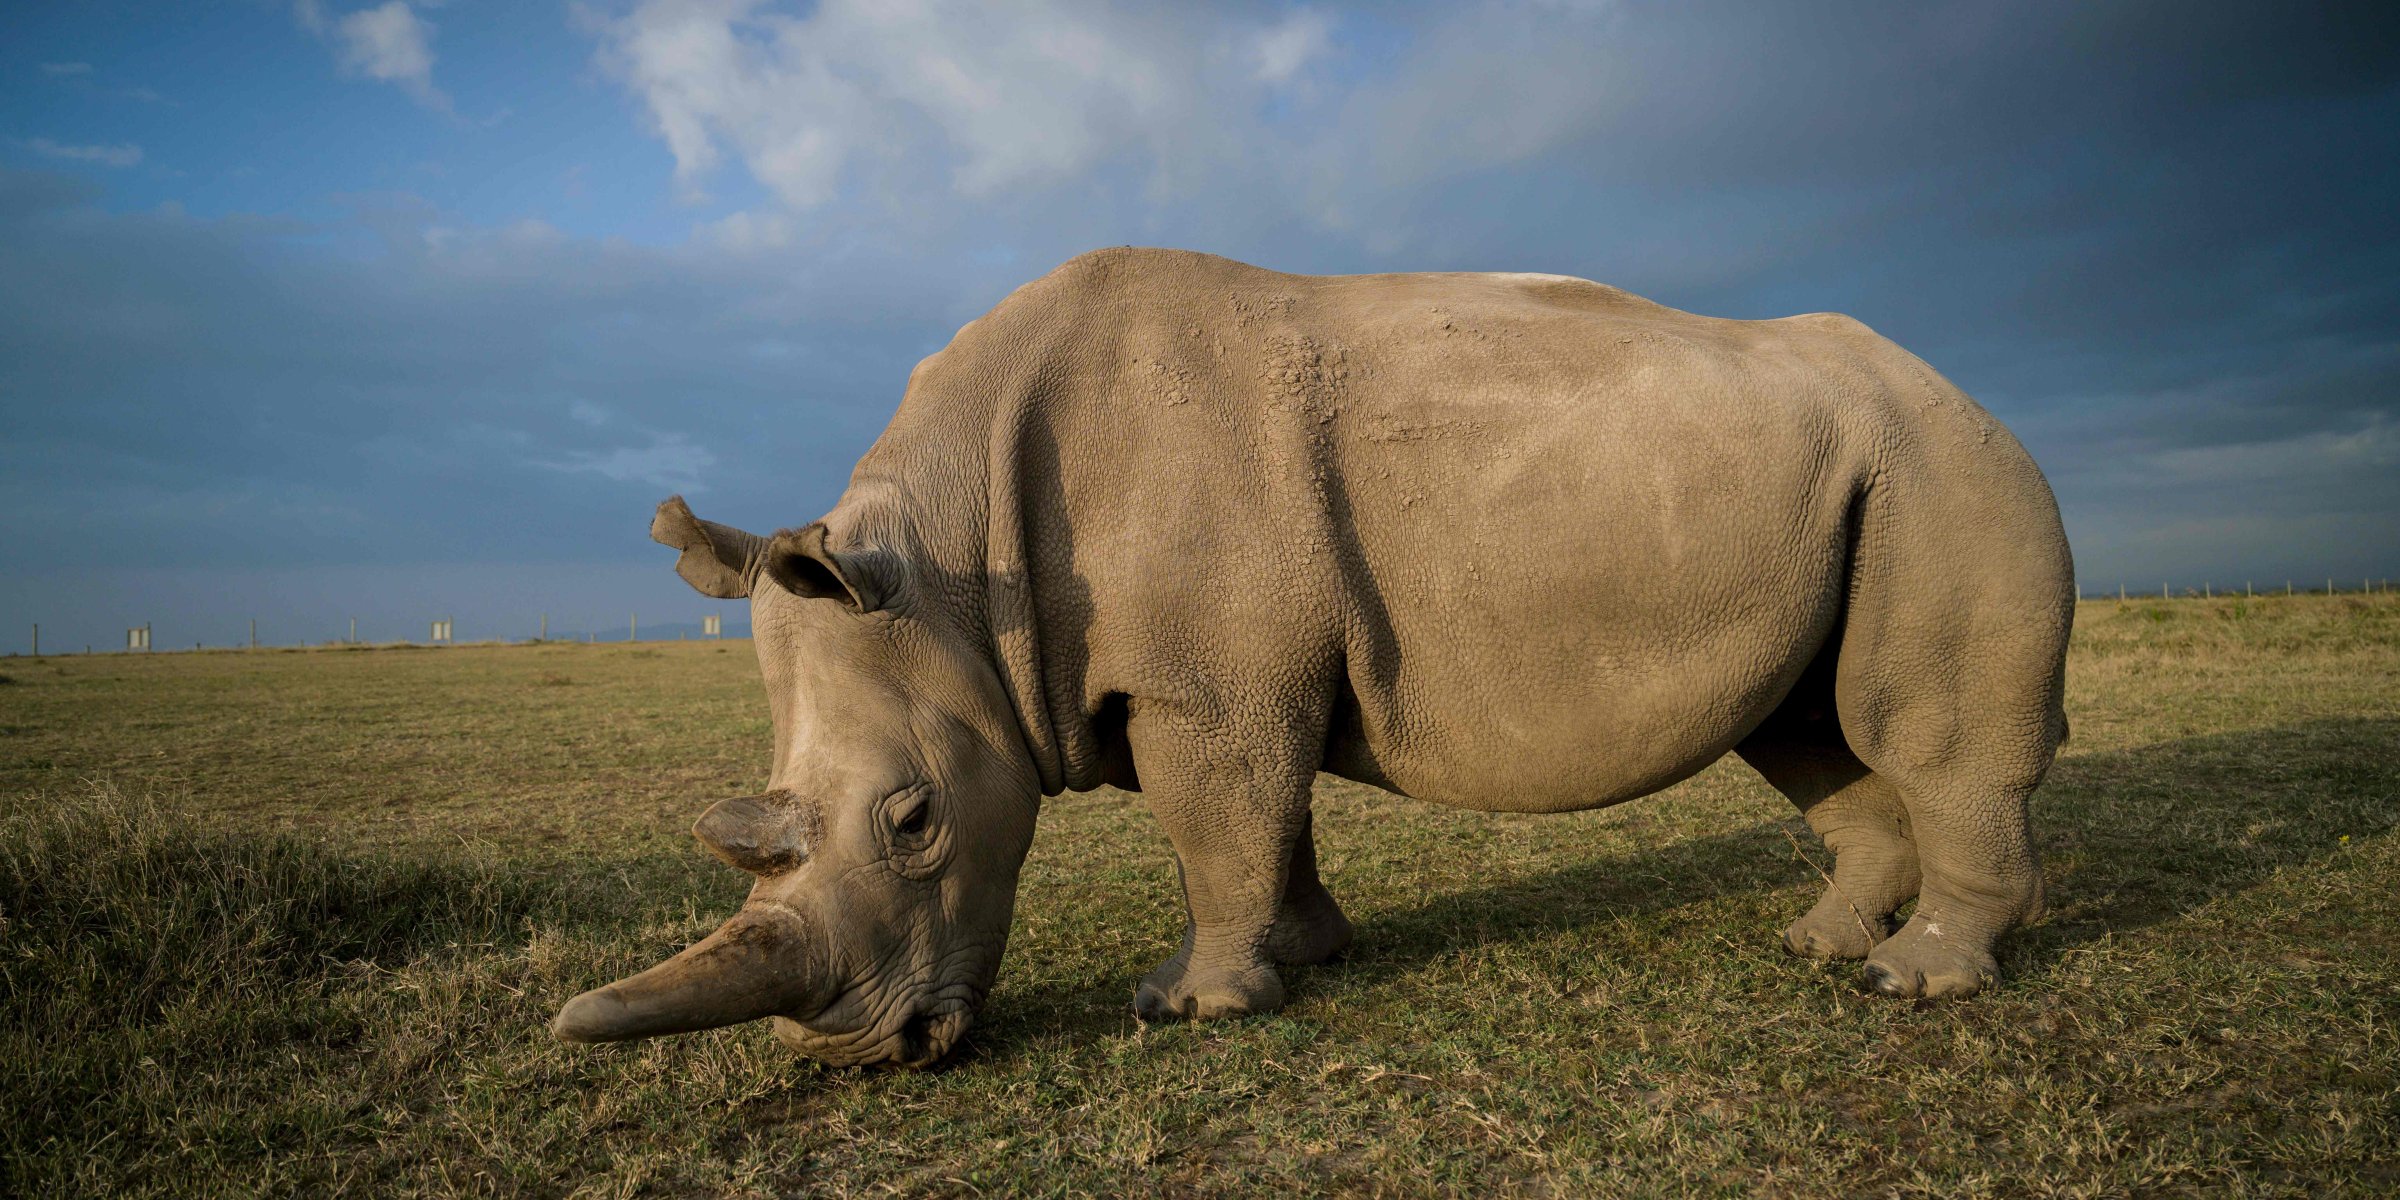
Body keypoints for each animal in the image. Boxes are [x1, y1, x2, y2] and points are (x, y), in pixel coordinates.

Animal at [552, 248, 2072, 1067]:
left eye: (915, 822)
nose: (869, 1054)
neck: (948, 570)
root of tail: (1967, 390)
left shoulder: (1203, 685)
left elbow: (1214, 825)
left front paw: (1190, 1006)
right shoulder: (1234, 676)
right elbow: (1266, 826)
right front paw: (1305, 954)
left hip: (1943, 467)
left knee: (1911, 725)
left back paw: (1916, 982)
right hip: (1842, 477)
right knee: (1804, 727)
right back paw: (1822, 946)